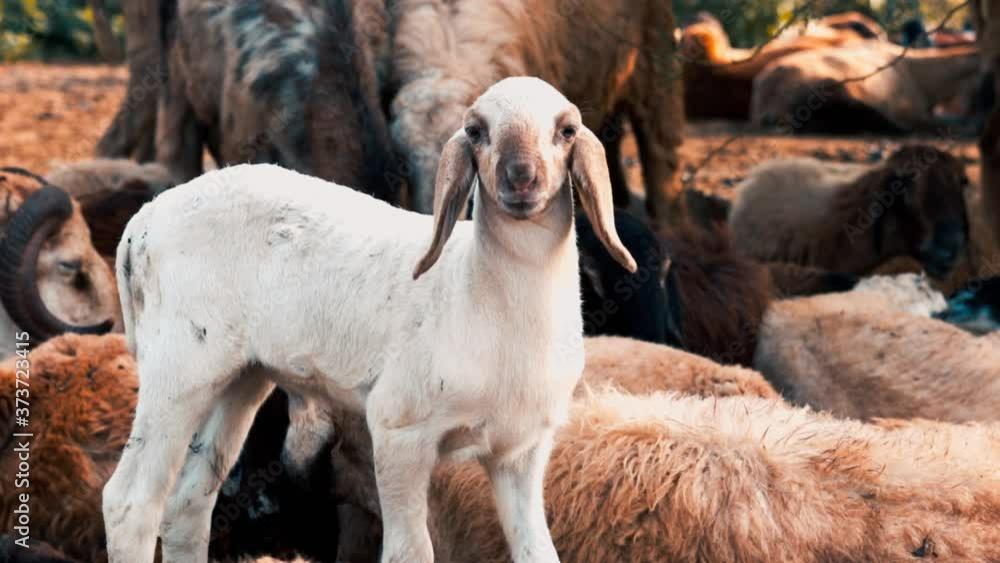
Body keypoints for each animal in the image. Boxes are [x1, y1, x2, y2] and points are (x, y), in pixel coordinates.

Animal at [102, 77, 636, 563]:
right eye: (476, 130)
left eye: (567, 130)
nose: (520, 178)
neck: (478, 293)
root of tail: (142, 223)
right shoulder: (399, 429)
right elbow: (408, 552)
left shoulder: (520, 454)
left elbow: (538, 551)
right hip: (178, 367)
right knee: (130, 504)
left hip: (240, 377)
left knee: (187, 505)